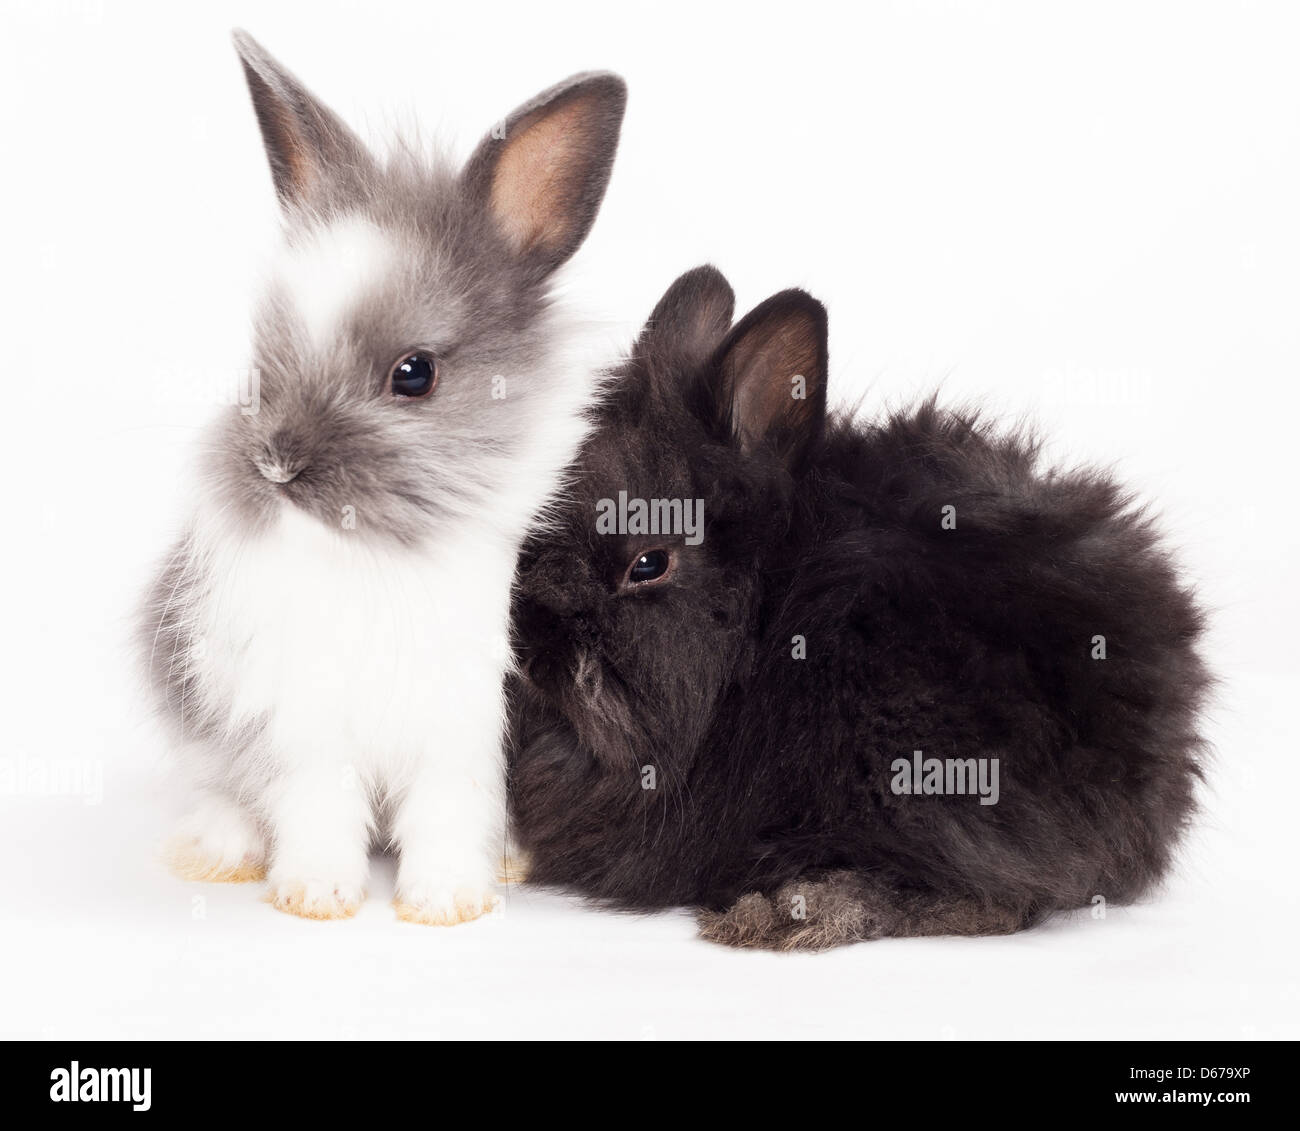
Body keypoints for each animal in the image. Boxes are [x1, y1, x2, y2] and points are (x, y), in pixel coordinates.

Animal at [139, 30, 626, 924]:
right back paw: (215, 851)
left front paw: (445, 903)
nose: (276, 462)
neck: (384, 553)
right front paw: (316, 896)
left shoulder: (466, 731)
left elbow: (448, 812)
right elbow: (316, 807)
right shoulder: (301, 719)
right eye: (261, 361)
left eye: (415, 373)